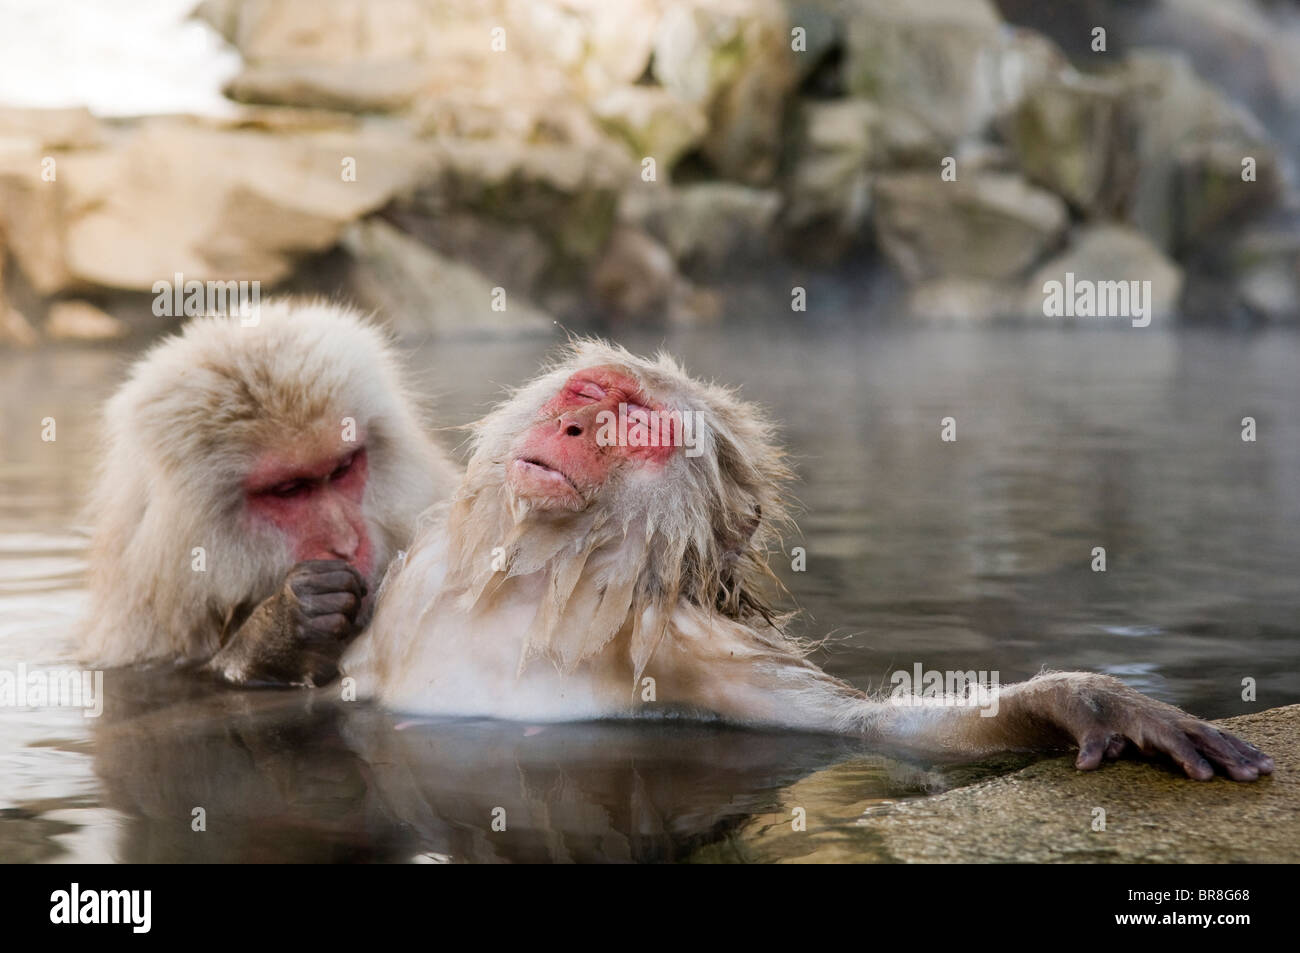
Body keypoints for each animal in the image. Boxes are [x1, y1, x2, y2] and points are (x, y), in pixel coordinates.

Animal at [343, 340, 1274, 782]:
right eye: (587, 396)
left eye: (633, 424)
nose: (570, 425)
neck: (538, 585)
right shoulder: (419, 579)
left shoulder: (687, 643)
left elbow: (864, 729)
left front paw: (1084, 697)